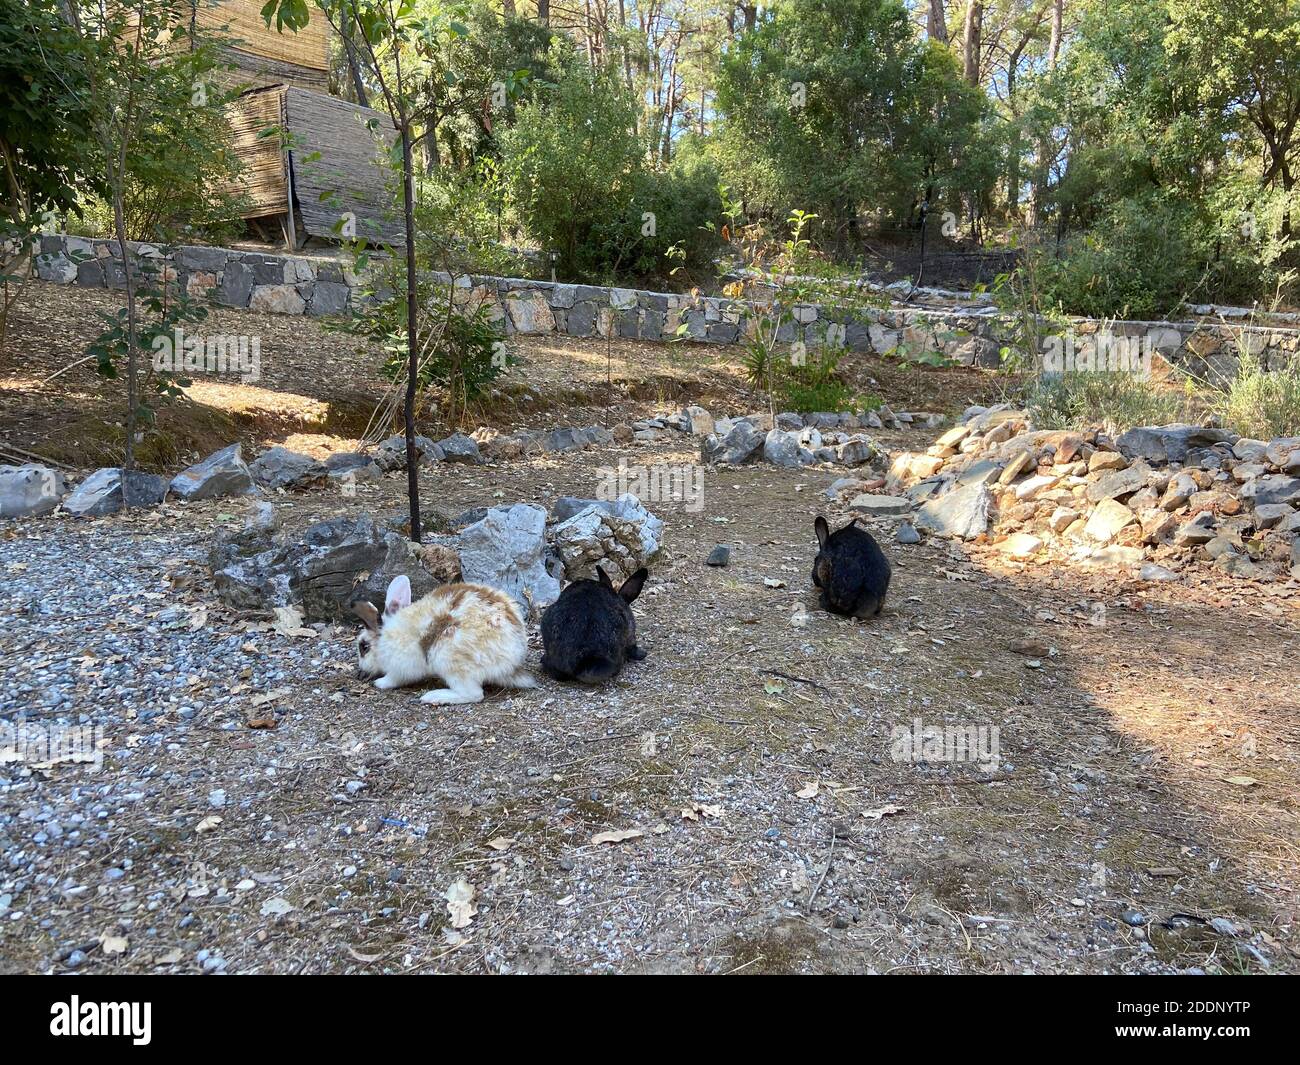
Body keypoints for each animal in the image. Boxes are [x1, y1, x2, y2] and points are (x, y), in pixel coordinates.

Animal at [351, 575, 536, 705]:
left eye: (364, 647)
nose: (361, 671)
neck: (384, 638)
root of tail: (513, 662)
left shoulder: (401, 666)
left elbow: (394, 678)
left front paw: (380, 683)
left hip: (449, 662)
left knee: (473, 694)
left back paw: (433, 697)